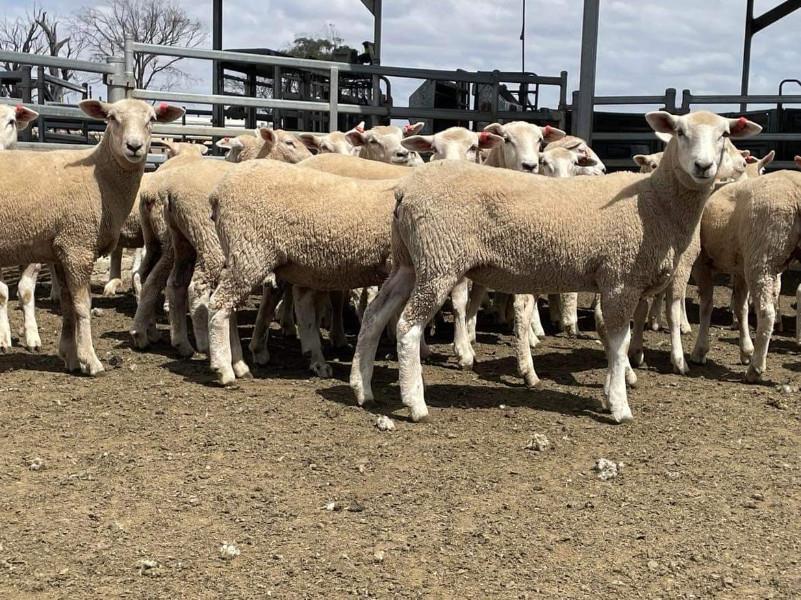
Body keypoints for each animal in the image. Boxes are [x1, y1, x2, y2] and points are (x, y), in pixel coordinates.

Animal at [0, 98, 183, 373]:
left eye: (151, 119)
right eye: (112, 118)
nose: (134, 146)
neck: (100, 178)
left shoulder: (62, 250)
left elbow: (67, 307)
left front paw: (71, 357)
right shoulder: (78, 247)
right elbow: (82, 306)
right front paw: (90, 359)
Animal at [349, 111, 761, 423]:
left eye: (725, 134)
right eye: (679, 132)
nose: (703, 166)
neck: (653, 204)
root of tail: (405, 191)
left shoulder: (619, 280)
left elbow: (617, 338)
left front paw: (615, 389)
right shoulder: (620, 278)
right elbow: (617, 342)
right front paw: (619, 405)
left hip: (410, 261)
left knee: (374, 315)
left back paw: (362, 388)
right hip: (439, 260)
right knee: (407, 325)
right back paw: (415, 404)